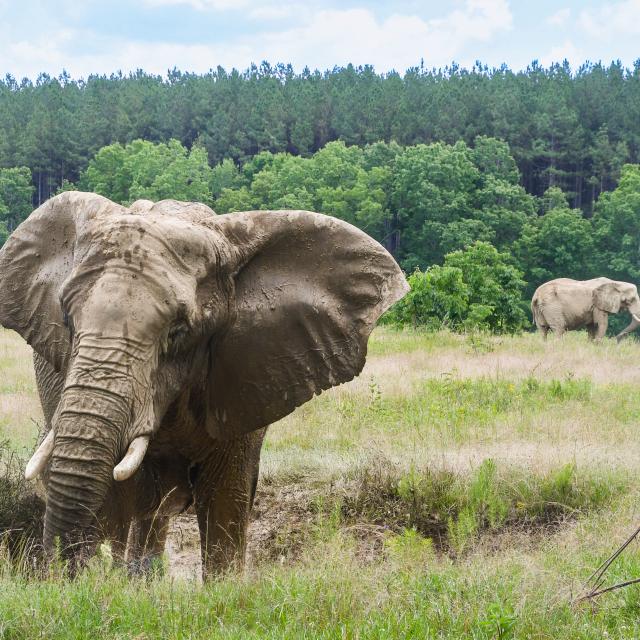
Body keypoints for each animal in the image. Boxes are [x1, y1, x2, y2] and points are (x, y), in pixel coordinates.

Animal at [0, 192, 407, 579]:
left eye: (178, 331)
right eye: (67, 319)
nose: (67, 572)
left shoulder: (246, 373)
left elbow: (226, 499)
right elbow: (120, 498)